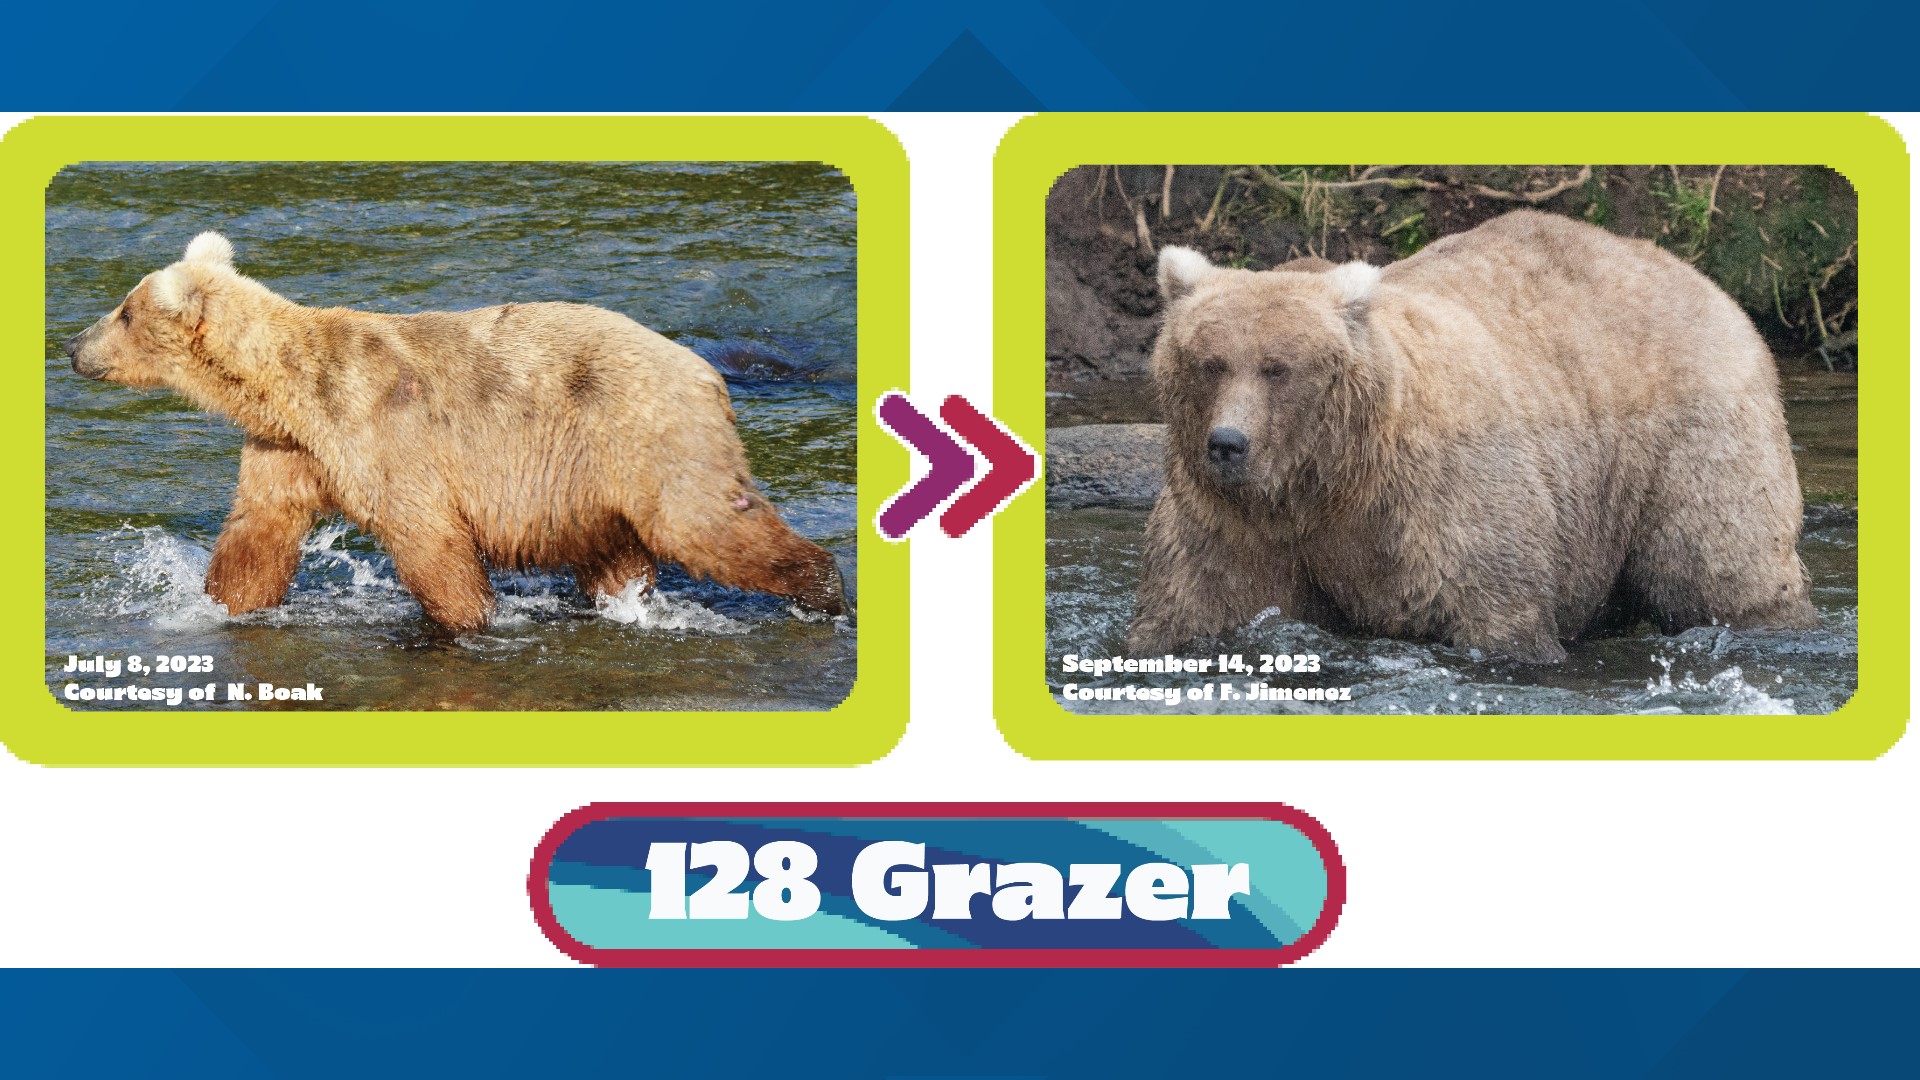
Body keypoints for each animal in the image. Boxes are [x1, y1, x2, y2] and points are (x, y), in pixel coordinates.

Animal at [63, 232, 845, 634]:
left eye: (124, 311)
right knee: (616, 555)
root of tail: (708, 371)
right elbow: (258, 532)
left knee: (706, 520)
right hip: (592, 483)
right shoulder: (289, 449)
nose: (72, 345)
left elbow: (428, 539)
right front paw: (209, 603)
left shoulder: (382, 432)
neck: (287, 390)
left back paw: (824, 590)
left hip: (647, 436)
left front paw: (471, 621)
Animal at [1125, 210, 1817, 663]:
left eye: (1277, 367)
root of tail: (1699, 278)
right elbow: (1197, 602)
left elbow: (1494, 607)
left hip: (1690, 435)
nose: (1228, 443)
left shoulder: (1440, 497)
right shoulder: (1233, 521)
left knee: (1719, 563)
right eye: (1210, 362)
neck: (1330, 478)